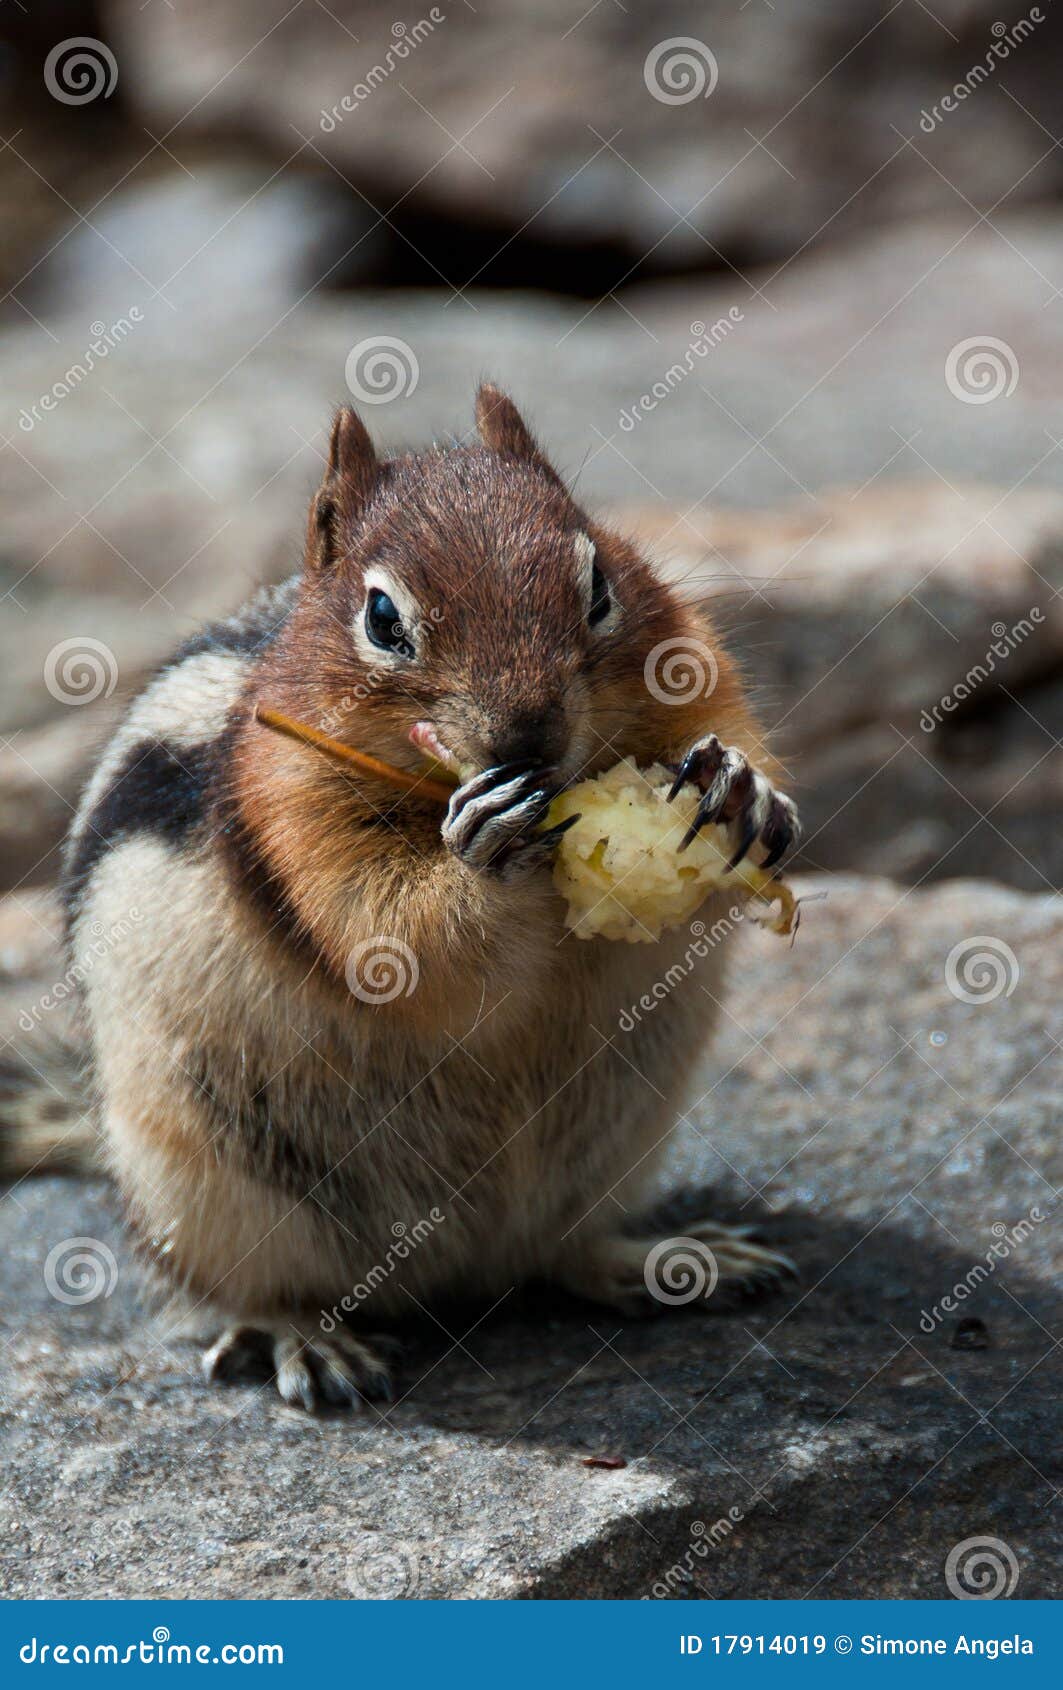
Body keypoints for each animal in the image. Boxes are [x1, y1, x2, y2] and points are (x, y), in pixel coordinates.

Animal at [4, 385, 800, 1411]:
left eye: (596, 584)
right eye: (383, 617)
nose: (526, 737)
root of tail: (464, 1270)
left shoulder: (691, 662)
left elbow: (723, 748)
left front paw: (741, 786)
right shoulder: (290, 803)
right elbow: (385, 935)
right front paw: (479, 850)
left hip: (620, 1138)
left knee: (563, 1251)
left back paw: (667, 1259)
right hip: (203, 1180)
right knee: (234, 1288)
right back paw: (304, 1340)